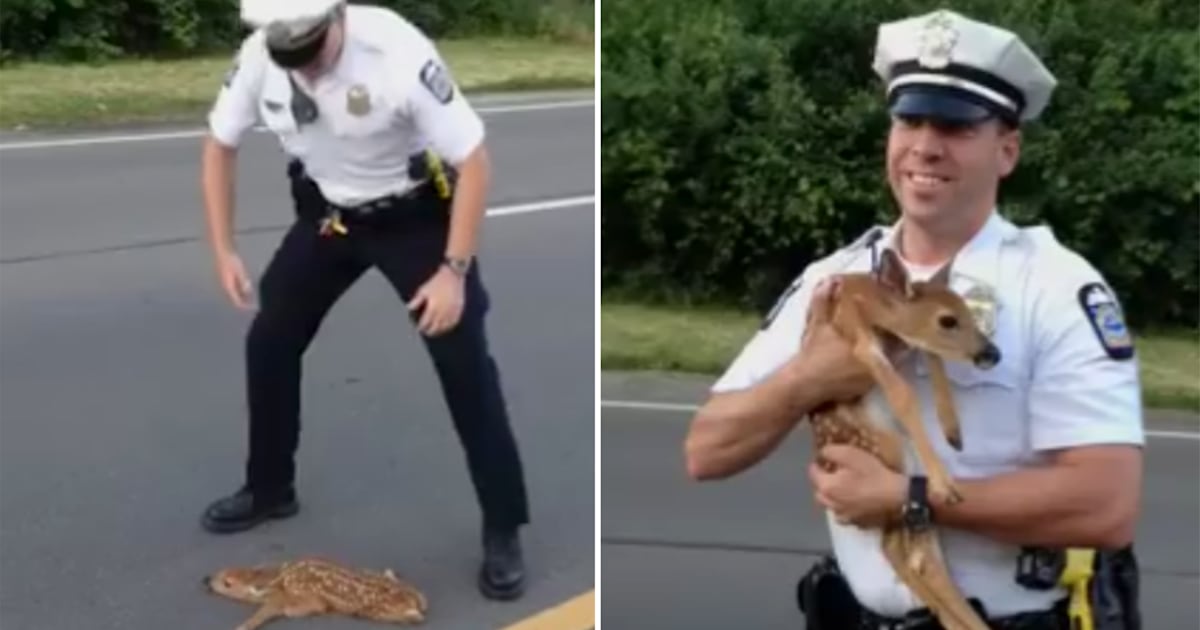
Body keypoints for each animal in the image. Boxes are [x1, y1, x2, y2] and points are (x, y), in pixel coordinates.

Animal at [802, 246, 1000, 630]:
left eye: (970, 312)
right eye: (947, 320)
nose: (992, 354)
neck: (867, 297)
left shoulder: (904, 344)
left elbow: (934, 361)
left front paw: (953, 431)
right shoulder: (858, 340)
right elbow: (902, 393)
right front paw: (946, 485)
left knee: (911, 553)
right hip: (889, 447)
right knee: (903, 551)